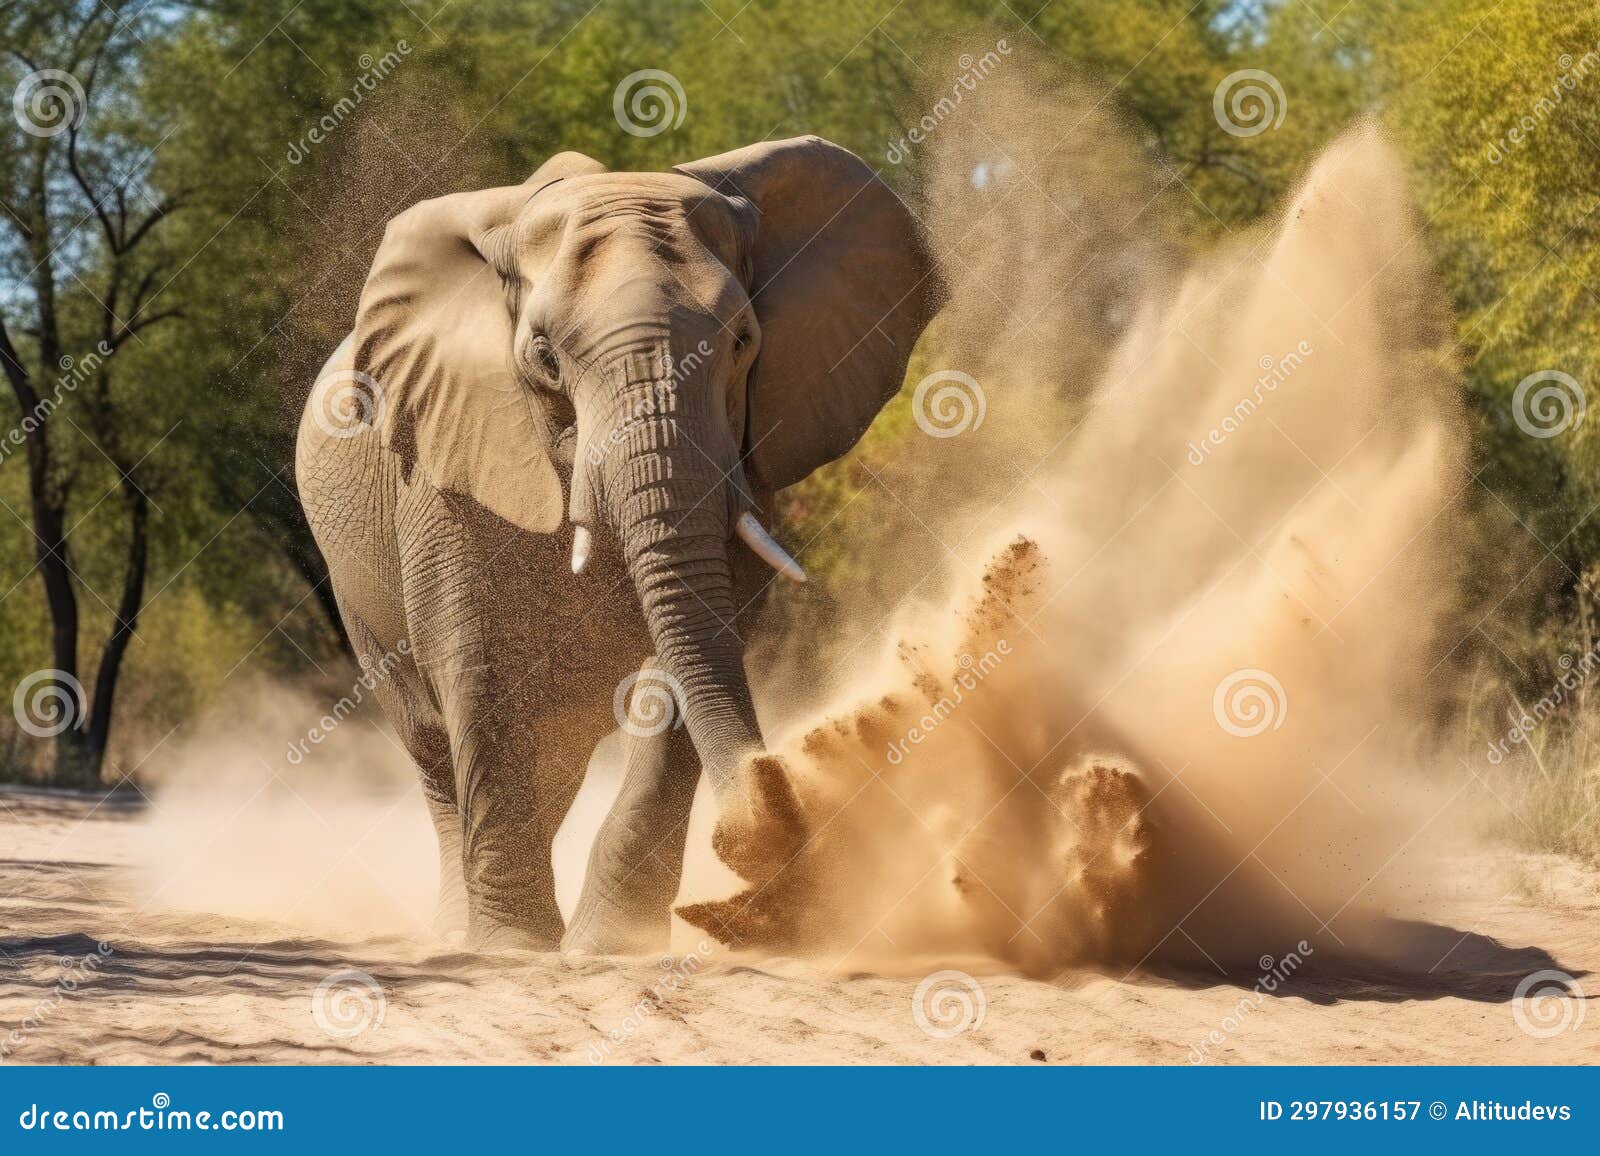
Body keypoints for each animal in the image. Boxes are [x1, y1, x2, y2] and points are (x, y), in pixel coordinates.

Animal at [294, 136, 941, 952]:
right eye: (543, 357)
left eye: (743, 342)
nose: (767, 825)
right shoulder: (447, 458)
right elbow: (476, 662)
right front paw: (516, 948)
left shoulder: (743, 460)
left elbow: (690, 657)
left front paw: (611, 946)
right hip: (353, 587)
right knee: (435, 744)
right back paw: (454, 934)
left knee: (556, 755)